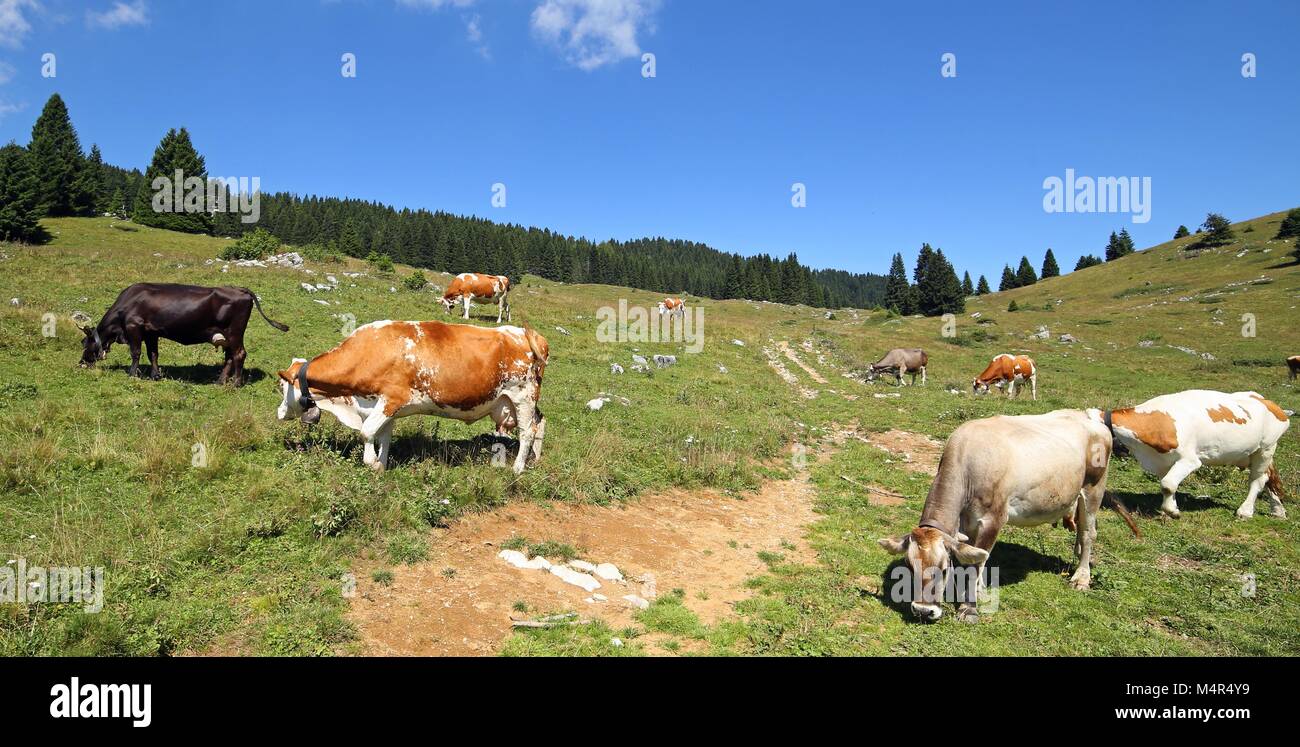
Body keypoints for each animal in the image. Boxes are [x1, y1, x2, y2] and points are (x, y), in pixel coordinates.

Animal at [79, 283, 288, 386]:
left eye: (84, 343)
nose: (81, 363)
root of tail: (239, 289)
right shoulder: (151, 332)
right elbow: (153, 354)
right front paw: (155, 375)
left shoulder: (134, 327)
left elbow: (136, 352)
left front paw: (132, 374)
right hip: (228, 335)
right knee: (229, 357)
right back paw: (220, 381)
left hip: (235, 332)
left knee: (239, 354)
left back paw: (236, 383)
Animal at [275, 320, 549, 474]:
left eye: (280, 385)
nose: (279, 412)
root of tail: (527, 333)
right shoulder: (382, 404)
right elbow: (383, 435)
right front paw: (382, 466)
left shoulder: (392, 399)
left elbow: (367, 431)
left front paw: (371, 463)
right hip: (512, 401)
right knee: (540, 422)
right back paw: (533, 461)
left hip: (522, 396)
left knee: (528, 431)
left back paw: (517, 469)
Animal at [878, 409, 1112, 622]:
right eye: (910, 567)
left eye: (943, 570)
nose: (923, 611)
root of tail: (1088, 416)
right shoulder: (966, 525)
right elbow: (973, 556)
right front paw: (976, 590)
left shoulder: (993, 519)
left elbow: (976, 564)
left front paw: (969, 607)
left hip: (1093, 489)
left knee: (1088, 534)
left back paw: (1081, 578)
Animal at [1097, 390, 1289, 519]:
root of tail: (1268, 402)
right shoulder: (1162, 462)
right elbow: (1168, 484)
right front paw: (1172, 506)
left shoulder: (1189, 460)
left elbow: (1167, 484)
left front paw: (1172, 511)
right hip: (1251, 454)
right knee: (1270, 477)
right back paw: (1278, 510)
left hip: (1266, 448)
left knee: (1258, 479)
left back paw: (1245, 511)